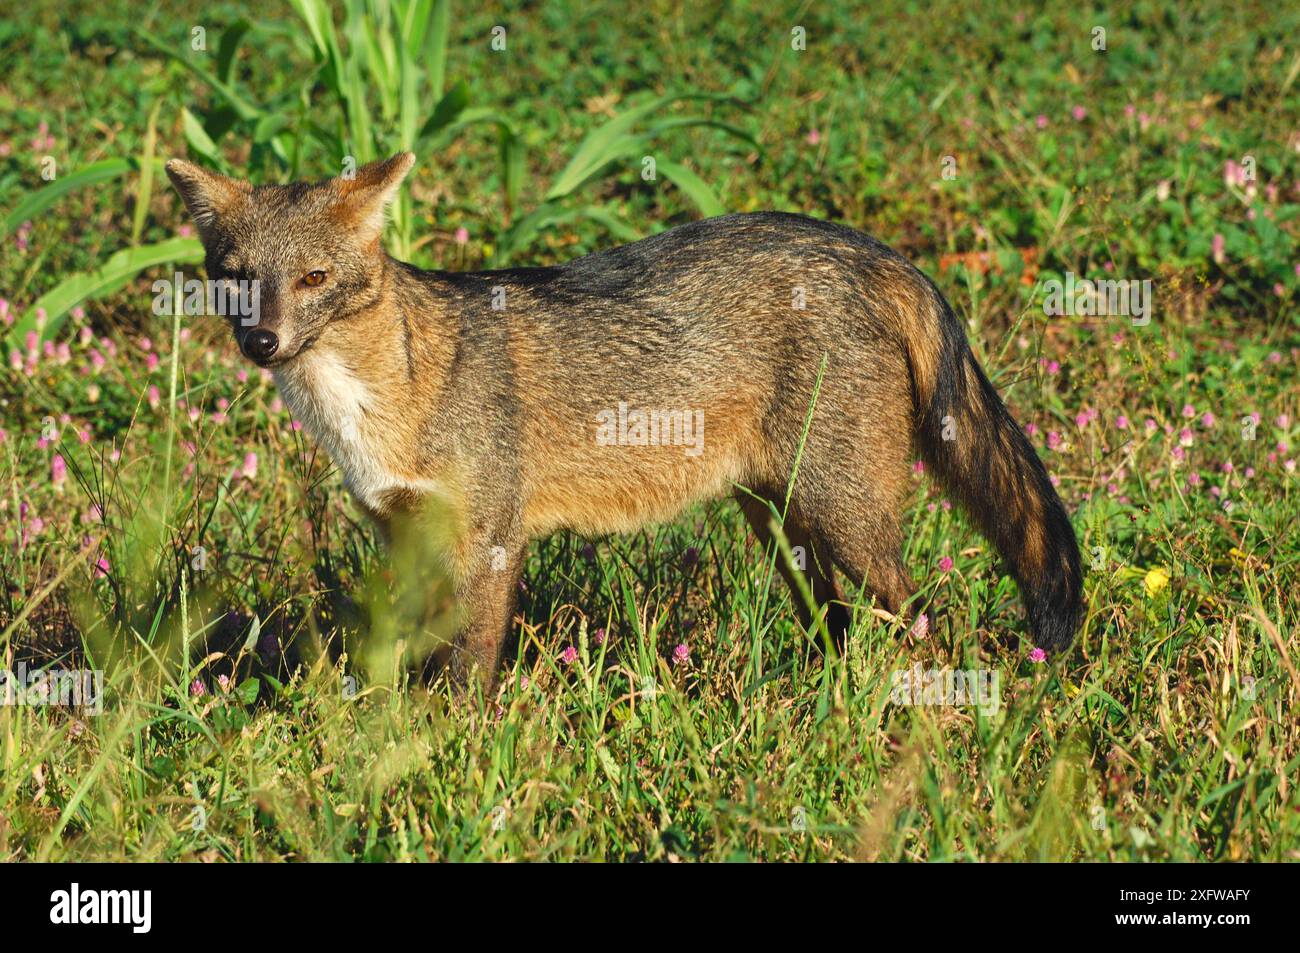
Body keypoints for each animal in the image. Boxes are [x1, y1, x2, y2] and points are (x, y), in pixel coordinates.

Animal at [165, 151, 1083, 687]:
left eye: (314, 277)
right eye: (237, 277)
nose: (261, 340)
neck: (377, 397)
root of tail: (869, 247)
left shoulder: (490, 541)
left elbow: (467, 675)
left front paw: (450, 754)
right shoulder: (404, 537)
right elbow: (401, 660)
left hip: (842, 520)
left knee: (920, 616)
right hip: (783, 525)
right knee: (839, 621)